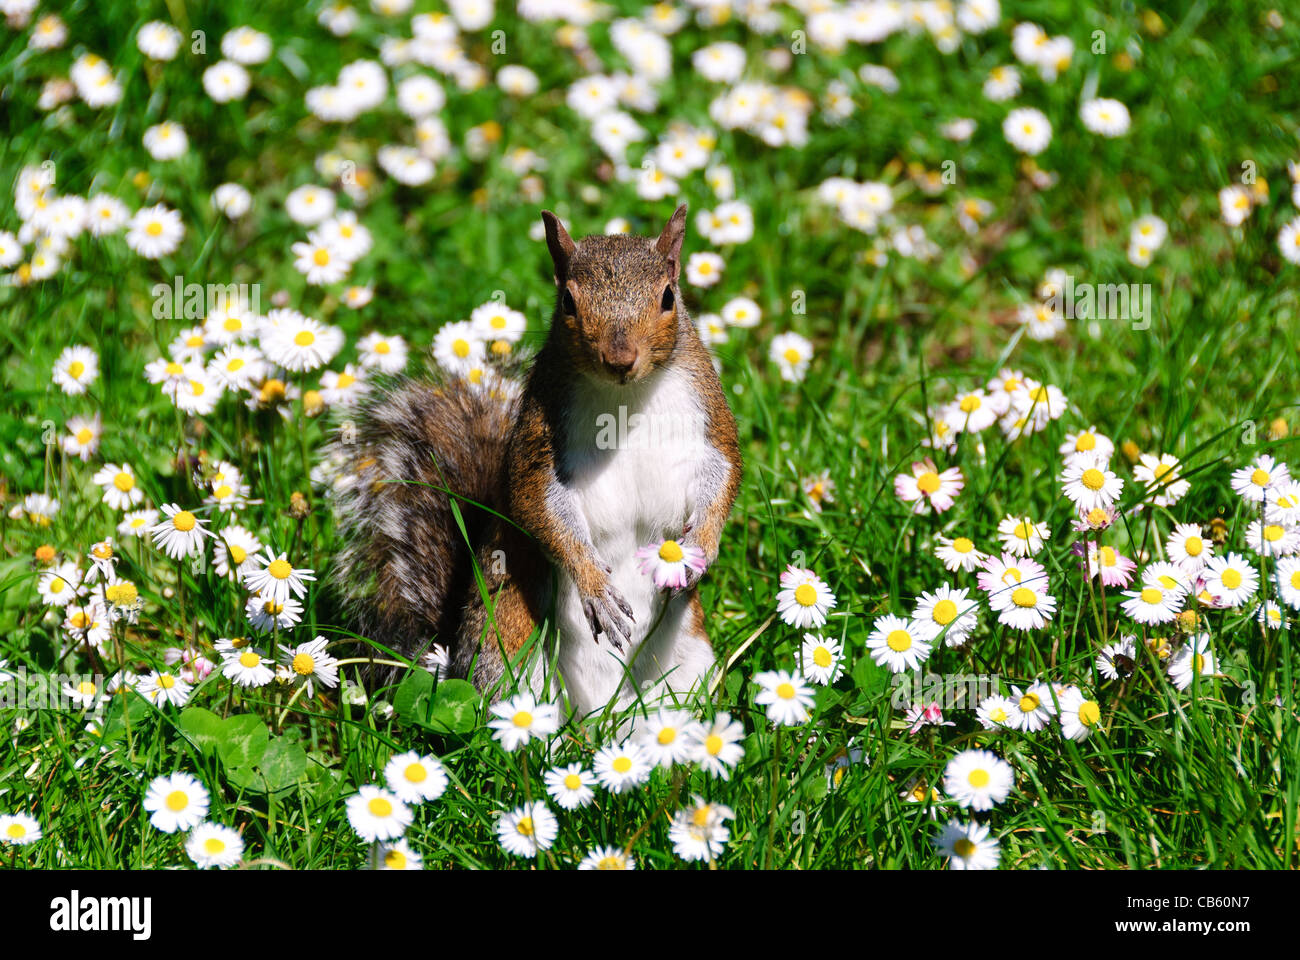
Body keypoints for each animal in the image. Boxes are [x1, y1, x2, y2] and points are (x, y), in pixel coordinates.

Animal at [328, 205, 742, 719]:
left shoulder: (709, 418)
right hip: (510, 650)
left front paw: (702, 546)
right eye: (568, 301)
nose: (620, 358)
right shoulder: (537, 443)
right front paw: (596, 587)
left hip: (691, 659)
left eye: (668, 297)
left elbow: (724, 473)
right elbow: (536, 504)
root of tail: (598, 713)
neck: (626, 400)